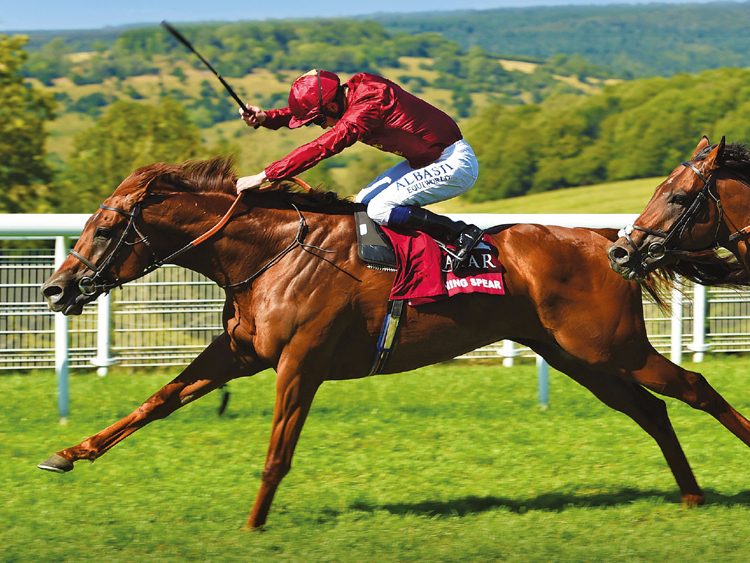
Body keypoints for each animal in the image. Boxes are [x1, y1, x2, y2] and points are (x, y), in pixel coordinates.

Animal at [39, 157, 750, 529]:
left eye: (107, 228)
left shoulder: (300, 361)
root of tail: (609, 240)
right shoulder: (241, 352)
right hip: (576, 356)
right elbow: (158, 401)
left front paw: (254, 522)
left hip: (611, 348)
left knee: (693, 387)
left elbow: (278, 451)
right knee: (651, 409)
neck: (272, 251)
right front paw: (68, 454)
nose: (55, 288)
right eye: (89, 224)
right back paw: (689, 492)